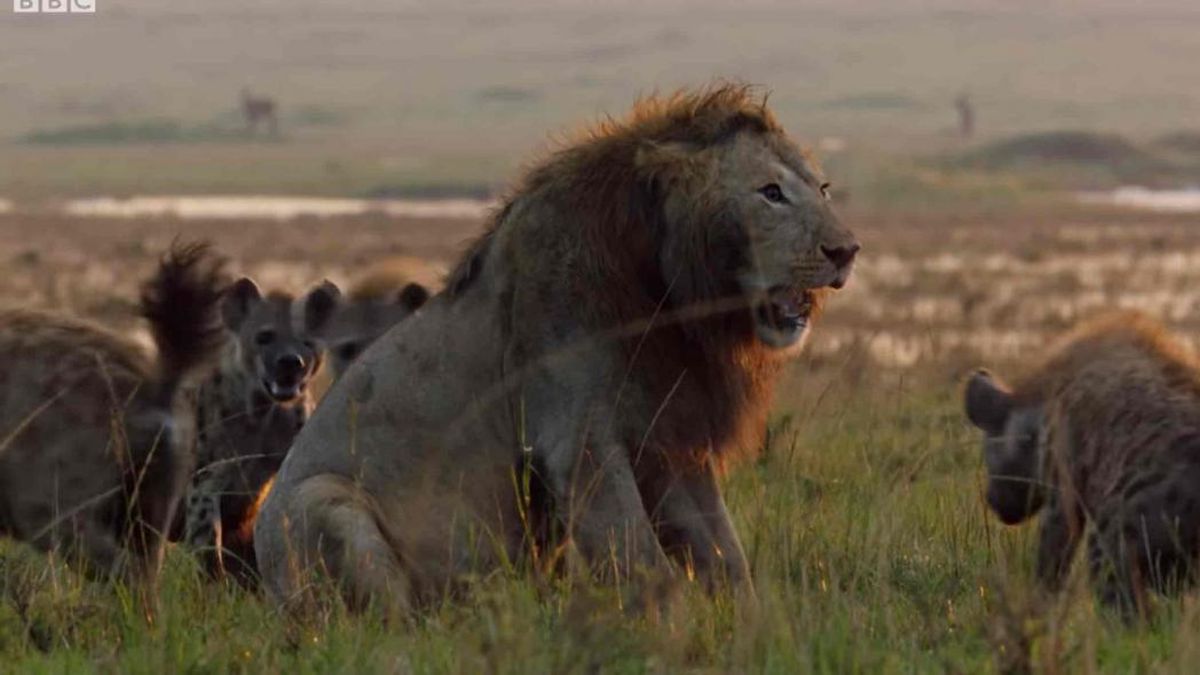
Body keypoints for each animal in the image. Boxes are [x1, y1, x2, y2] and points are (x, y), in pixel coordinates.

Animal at [254, 83, 860, 614]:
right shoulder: (578, 440)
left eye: (824, 189)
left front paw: (755, 630)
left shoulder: (669, 440)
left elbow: (726, 557)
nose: (847, 250)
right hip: (321, 500)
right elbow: (643, 561)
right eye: (771, 193)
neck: (667, 298)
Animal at [966, 311, 1200, 618]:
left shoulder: (1061, 473)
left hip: (1114, 537)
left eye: (987, 458)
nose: (992, 502)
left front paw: (1037, 607)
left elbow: (1055, 546)